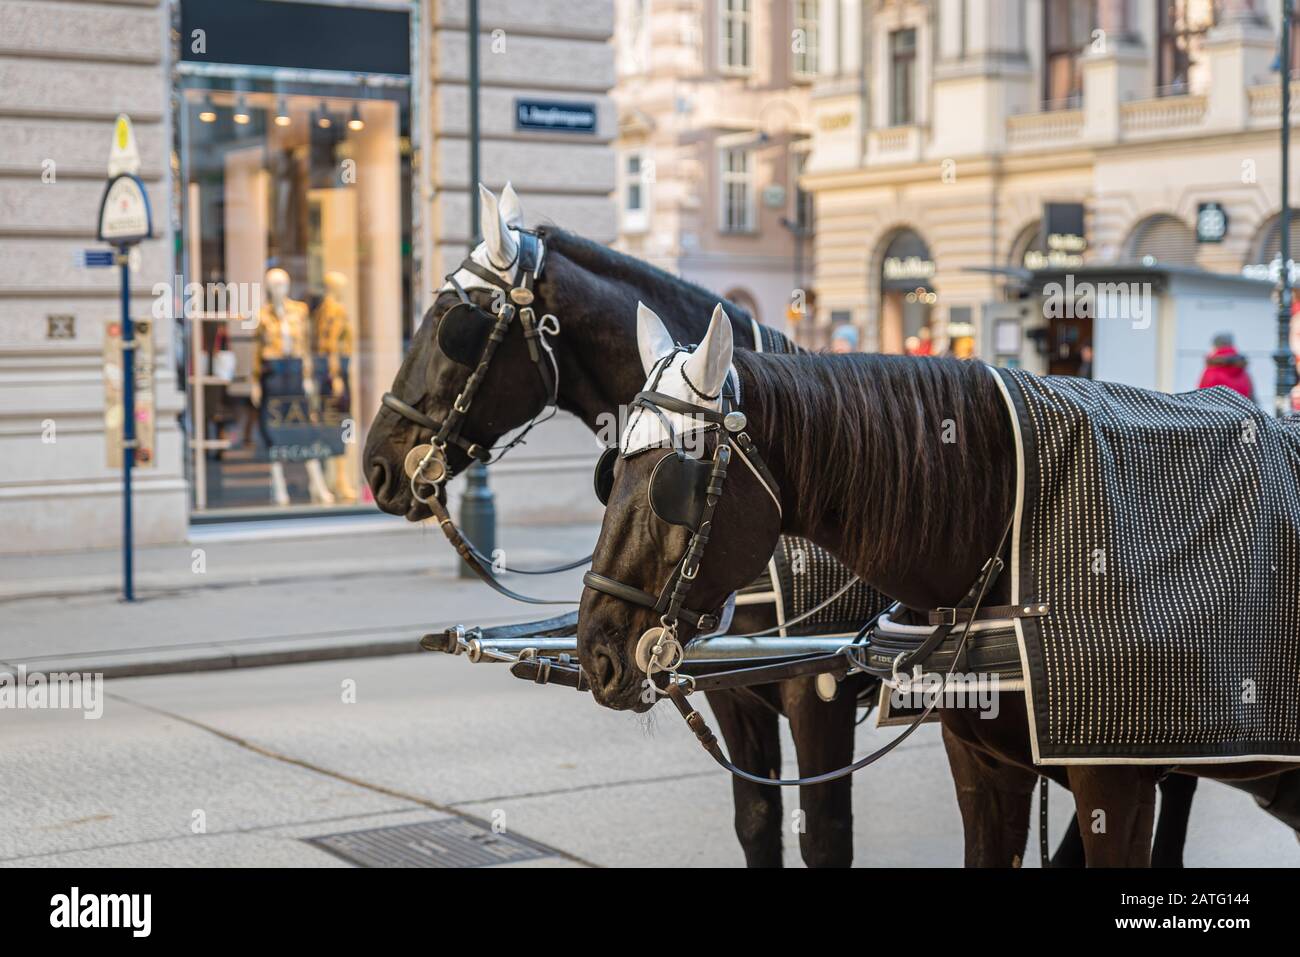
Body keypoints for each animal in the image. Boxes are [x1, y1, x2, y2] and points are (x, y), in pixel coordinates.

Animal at [578, 301, 1300, 866]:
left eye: (674, 484)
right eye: (610, 472)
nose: (597, 654)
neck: (1017, 530)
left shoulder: (1114, 779)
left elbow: (823, 836)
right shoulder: (982, 765)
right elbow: (761, 823)